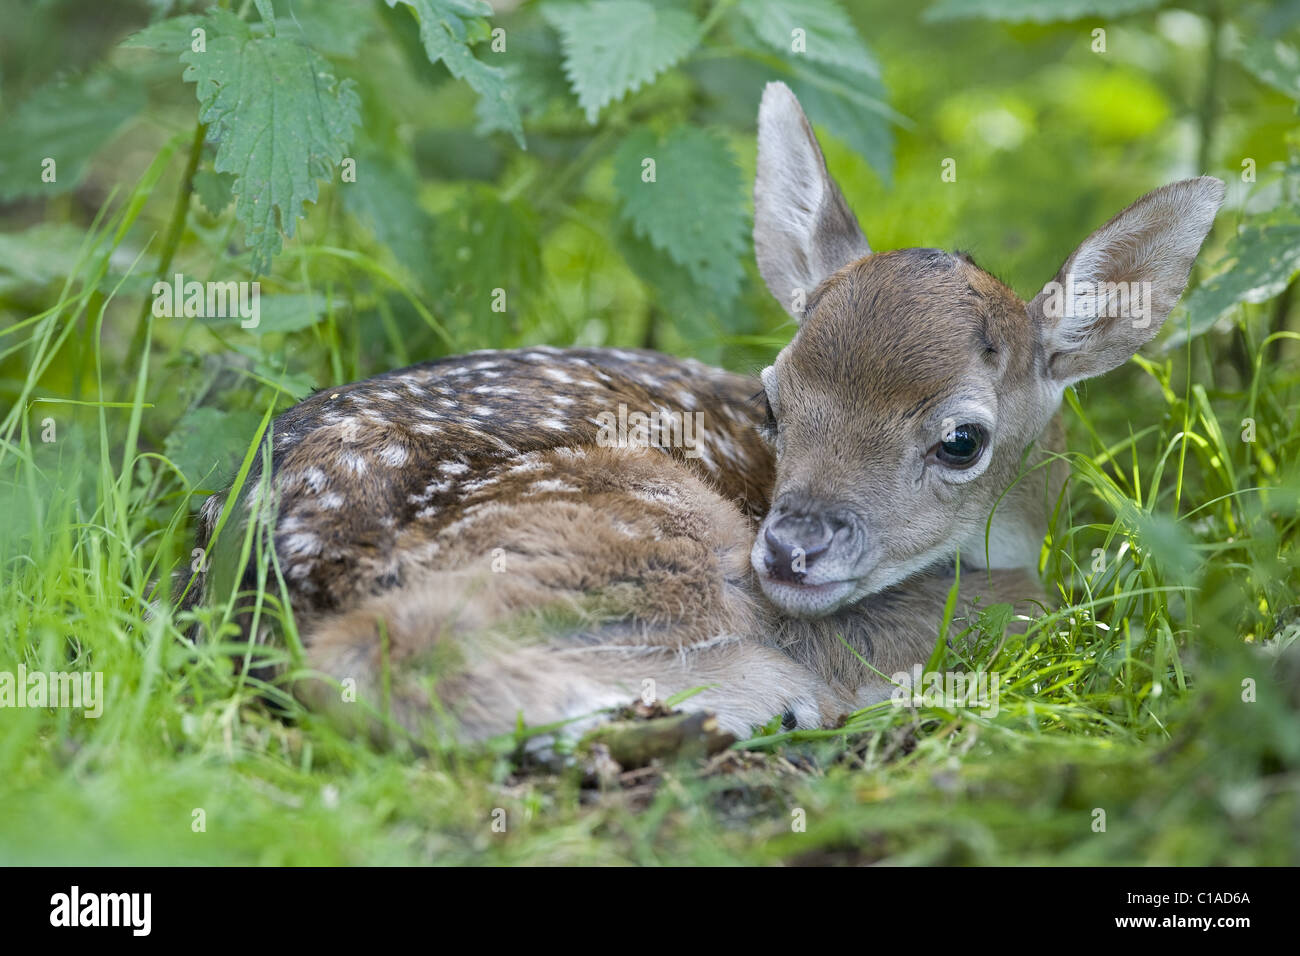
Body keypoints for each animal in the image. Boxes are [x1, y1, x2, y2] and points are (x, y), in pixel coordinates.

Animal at [187, 82, 1224, 748]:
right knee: (389, 654)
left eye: (962, 440)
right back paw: (746, 706)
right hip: (630, 527)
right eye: (773, 398)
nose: (792, 549)